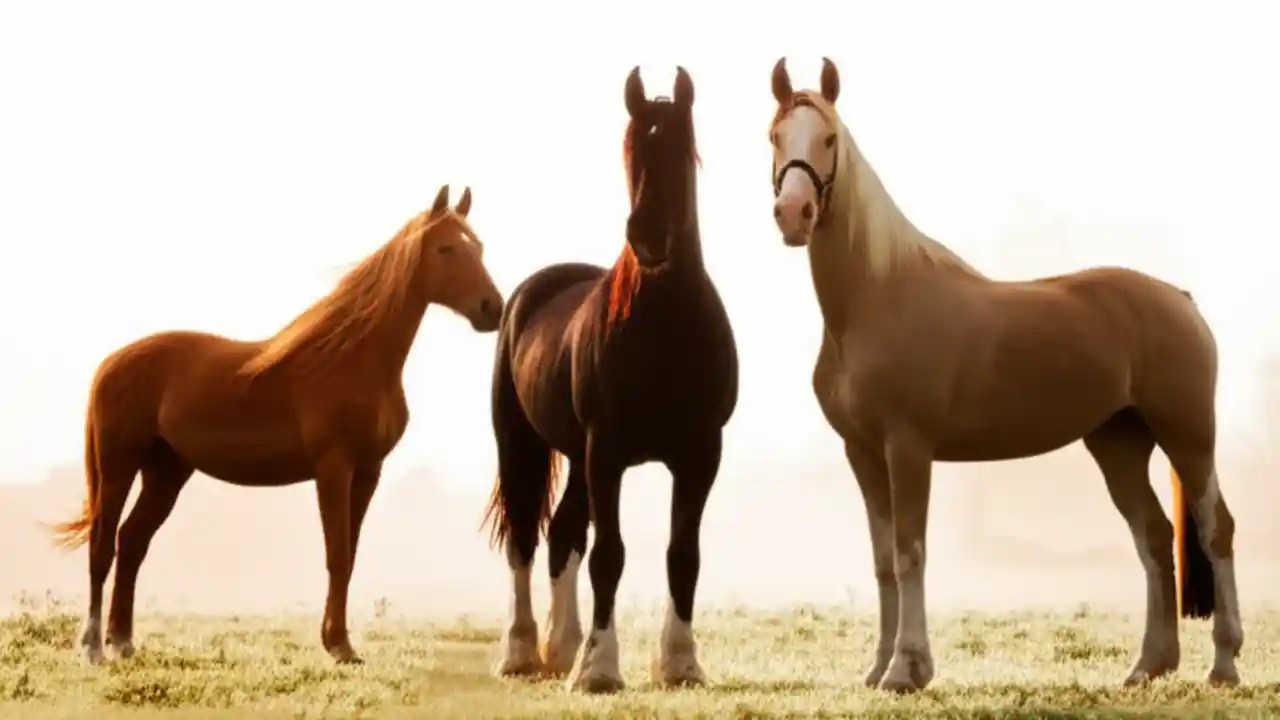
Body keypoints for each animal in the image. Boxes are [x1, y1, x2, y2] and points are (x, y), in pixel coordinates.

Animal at [49, 184, 504, 665]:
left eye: (478, 247)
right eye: (446, 248)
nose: (492, 309)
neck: (352, 359)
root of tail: (112, 362)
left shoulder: (367, 472)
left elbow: (350, 555)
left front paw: (338, 641)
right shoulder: (333, 468)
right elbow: (337, 555)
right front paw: (338, 645)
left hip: (167, 472)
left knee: (132, 542)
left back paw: (122, 640)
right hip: (119, 465)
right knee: (102, 545)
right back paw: (94, 647)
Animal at [479, 66, 738, 694]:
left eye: (681, 147)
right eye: (632, 149)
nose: (648, 234)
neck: (664, 330)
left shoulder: (700, 453)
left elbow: (682, 554)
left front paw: (680, 663)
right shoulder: (608, 451)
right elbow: (610, 555)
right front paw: (599, 669)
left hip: (577, 456)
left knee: (563, 533)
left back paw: (561, 646)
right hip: (521, 443)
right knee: (524, 537)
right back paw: (521, 651)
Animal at [766, 57, 1242, 693]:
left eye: (828, 139)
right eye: (774, 136)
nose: (794, 215)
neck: (877, 296)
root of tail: (1181, 299)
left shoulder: (907, 447)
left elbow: (910, 552)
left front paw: (907, 669)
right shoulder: (862, 453)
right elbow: (883, 558)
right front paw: (878, 667)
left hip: (1188, 435)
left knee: (1216, 530)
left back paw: (1224, 664)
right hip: (1118, 443)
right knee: (1153, 537)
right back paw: (1148, 665)